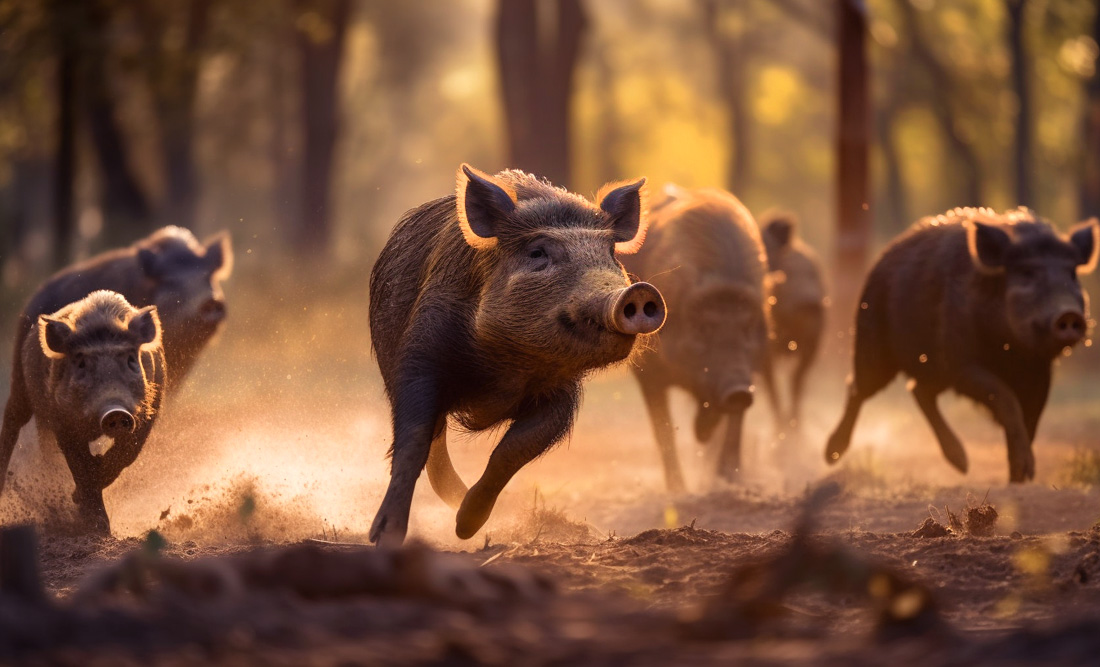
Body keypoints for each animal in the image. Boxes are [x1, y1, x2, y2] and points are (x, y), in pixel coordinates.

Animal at [3, 290, 166, 533]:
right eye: (81, 363)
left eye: (130, 360)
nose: (115, 411)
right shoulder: (63, 423)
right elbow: (79, 466)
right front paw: (98, 528)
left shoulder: (147, 415)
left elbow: (124, 456)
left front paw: (80, 495)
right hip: (19, 384)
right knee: (12, 421)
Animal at [368, 164, 666, 546]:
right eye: (538, 253)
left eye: (611, 253)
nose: (638, 291)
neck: (506, 365)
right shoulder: (420, 357)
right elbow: (413, 439)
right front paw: (385, 538)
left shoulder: (561, 392)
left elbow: (512, 452)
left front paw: (466, 526)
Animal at [622, 186, 773, 492]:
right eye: (704, 327)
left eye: (748, 326)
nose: (738, 391)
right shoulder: (648, 372)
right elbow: (664, 430)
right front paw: (679, 492)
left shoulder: (750, 366)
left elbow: (732, 428)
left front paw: (728, 482)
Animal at [825, 208, 1099, 482]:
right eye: (1026, 273)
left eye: (1072, 274)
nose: (1069, 314)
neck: (1010, 349)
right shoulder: (960, 363)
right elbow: (1004, 397)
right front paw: (1023, 473)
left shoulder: (1040, 371)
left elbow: (1030, 418)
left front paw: (1021, 479)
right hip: (873, 345)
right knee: (857, 387)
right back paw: (831, 454)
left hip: (931, 368)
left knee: (918, 390)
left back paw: (962, 465)